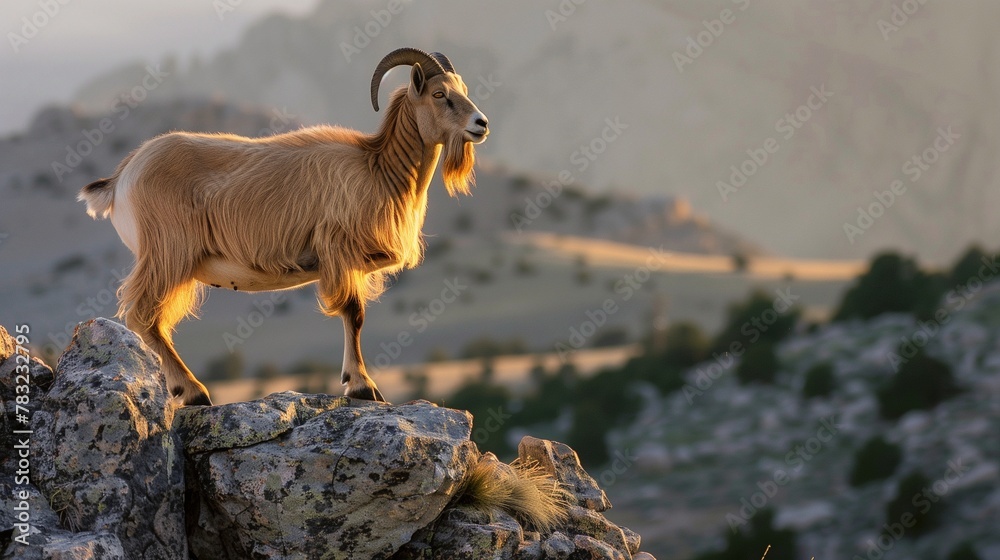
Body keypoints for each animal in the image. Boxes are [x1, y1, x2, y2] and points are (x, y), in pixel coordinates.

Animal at [78, 48, 489, 405]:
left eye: (463, 91)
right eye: (439, 94)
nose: (481, 124)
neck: (377, 169)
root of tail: (123, 176)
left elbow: (354, 317)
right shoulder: (337, 252)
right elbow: (353, 314)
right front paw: (362, 386)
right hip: (167, 254)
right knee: (143, 315)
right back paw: (195, 392)